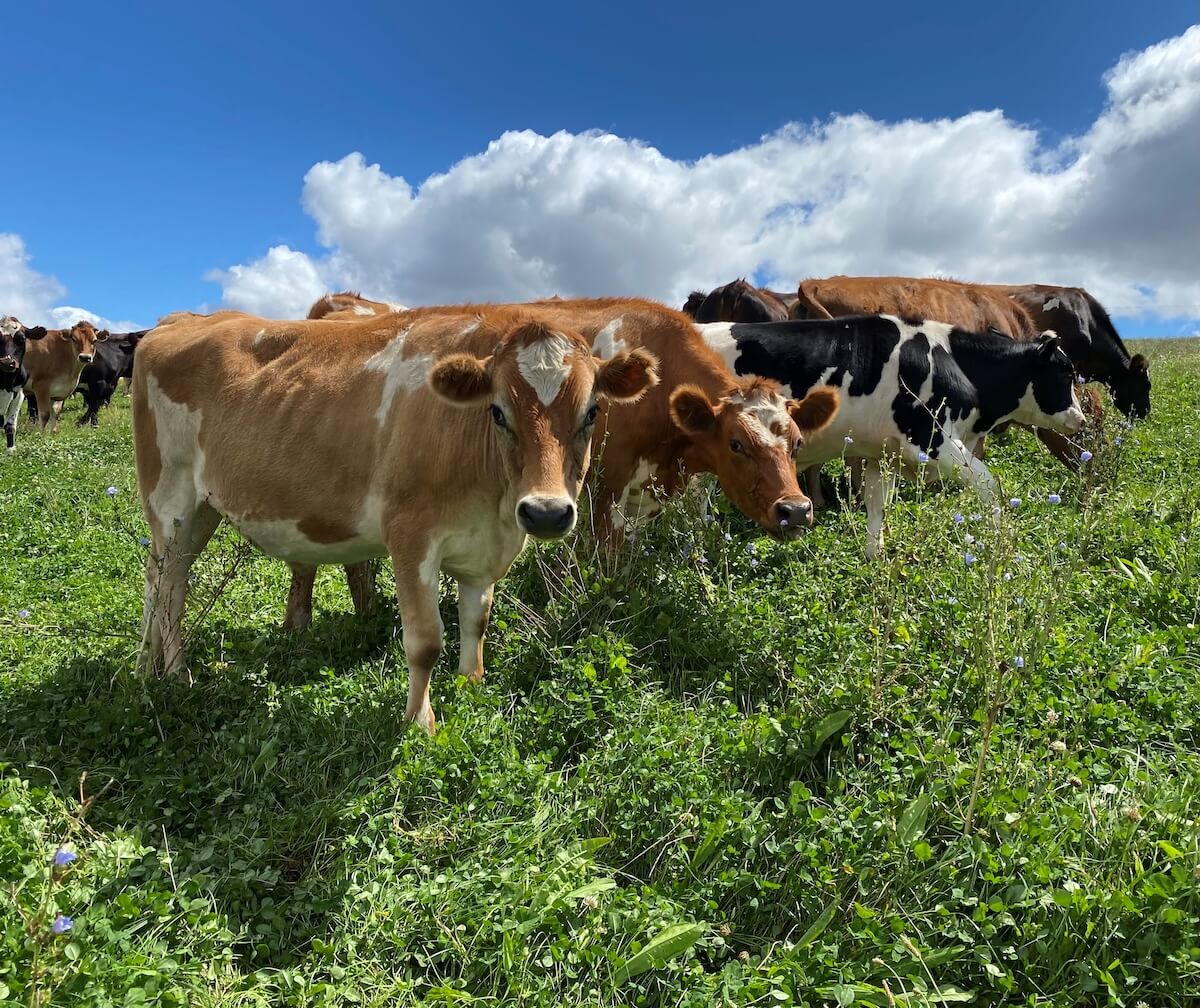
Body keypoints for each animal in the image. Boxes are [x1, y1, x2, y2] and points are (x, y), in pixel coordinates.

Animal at [0, 316, 47, 452]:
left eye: (22, 339)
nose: (7, 362)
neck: (6, 384)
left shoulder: (18, 396)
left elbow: (10, 425)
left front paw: (11, 450)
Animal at [132, 308, 659, 732]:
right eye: (497, 411)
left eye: (592, 412)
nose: (546, 512)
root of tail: (183, 320)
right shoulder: (409, 535)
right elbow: (425, 640)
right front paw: (420, 723)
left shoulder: (483, 549)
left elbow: (477, 621)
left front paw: (471, 686)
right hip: (168, 496)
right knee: (164, 585)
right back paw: (168, 672)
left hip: (201, 510)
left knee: (167, 581)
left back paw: (153, 669)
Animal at [282, 295, 841, 631]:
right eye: (737, 445)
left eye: (795, 443)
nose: (796, 510)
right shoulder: (607, 484)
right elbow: (609, 560)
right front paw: (610, 602)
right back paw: (307, 626)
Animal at [696, 316, 1086, 559]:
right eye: (1065, 372)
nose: (1080, 420)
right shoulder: (934, 440)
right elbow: (991, 485)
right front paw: (1001, 543)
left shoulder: (880, 453)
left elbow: (876, 504)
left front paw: (874, 555)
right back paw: (701, 547)